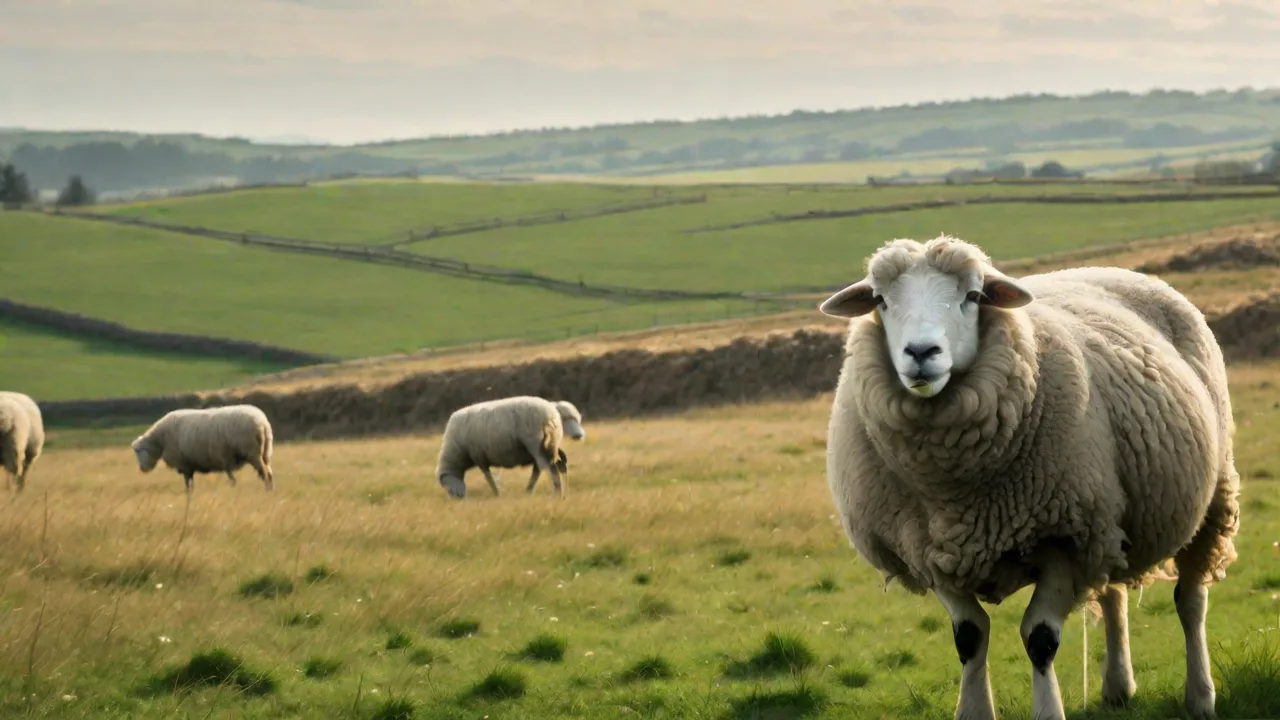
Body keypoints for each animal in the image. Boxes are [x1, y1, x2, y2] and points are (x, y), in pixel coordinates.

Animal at [131, 405, 275, 493]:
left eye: (138, 451)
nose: (142, 469)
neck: (161, 440)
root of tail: (262, 422)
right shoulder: (189, 465)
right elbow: (190, 482)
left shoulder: (184, 464)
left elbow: (188, 483)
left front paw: (188, 495)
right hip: (265, 452)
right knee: (269, 472)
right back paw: (270, 490)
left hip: (253, 453)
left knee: (265, 473)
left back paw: (267, 491)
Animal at [436, 396, 586, 499]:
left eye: (447, 487)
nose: (458, 499)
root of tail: (551, 413)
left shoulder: (479, 456)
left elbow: (488, 476)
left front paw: (496, 493)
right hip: (549, 444)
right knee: (546, 467)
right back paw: (531, 490)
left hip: (535, 444)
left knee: (548, 468)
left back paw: (556, 493)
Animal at [819, 235, 1239, 720]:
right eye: (881, 301)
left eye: (974, 296)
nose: (922, 353)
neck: (953, 494)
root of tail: (1117, 270)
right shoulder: (927, 550)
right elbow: (970, 636)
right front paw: (974, 710)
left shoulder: (1063, 539)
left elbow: (1040, 639)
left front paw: (1047, 709)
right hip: (1107, 518)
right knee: (1112, 593)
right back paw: (1118, 686)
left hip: (1208, 496)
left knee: (1190, 601)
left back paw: (1200, 695)